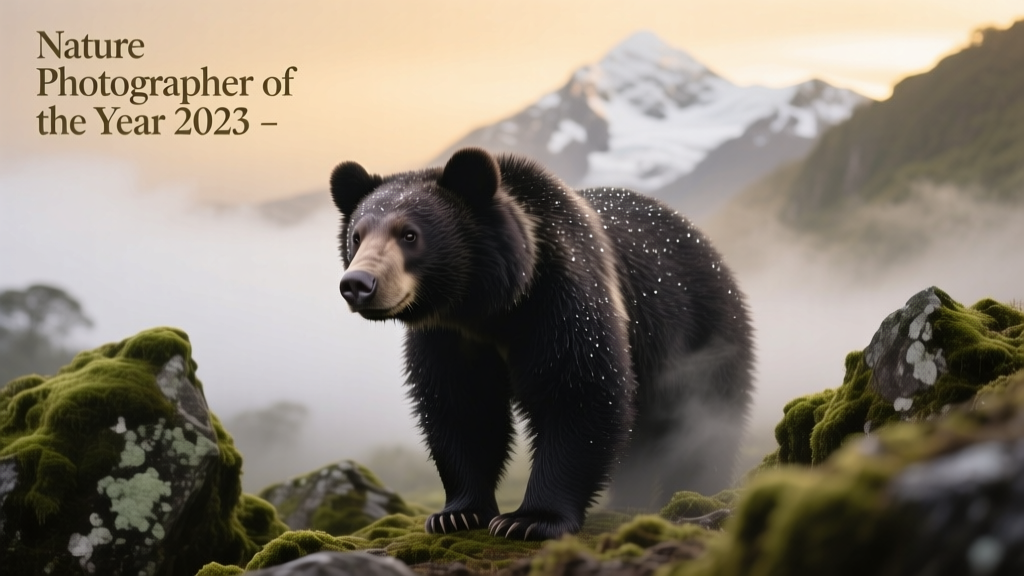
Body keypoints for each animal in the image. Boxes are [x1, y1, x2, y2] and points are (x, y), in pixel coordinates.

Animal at [330, 147, 754, 540]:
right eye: (356, 236)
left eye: (409, 234)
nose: (358, 284)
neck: (488, 307)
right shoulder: (448, 336)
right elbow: (462, 407)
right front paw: (457, 513)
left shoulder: (560, 301)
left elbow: (577, 393)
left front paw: (528, 519)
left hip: (700, 335)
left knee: (703, 427)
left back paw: (694, 495)